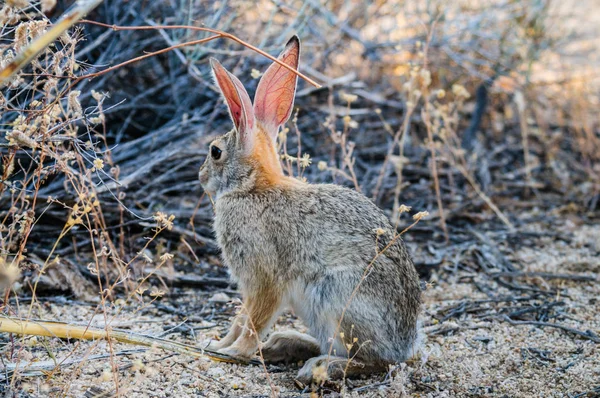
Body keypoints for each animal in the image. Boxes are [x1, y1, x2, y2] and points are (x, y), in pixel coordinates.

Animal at [199, 35, 420, 384]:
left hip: (335, 299)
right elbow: (240, 318)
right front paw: (217, 343)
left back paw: (318, 367)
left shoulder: (264, 278)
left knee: (373, 361)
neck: (253, 188)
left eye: (215, 152)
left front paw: (233, 352)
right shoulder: (251, 284)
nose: (201, 177)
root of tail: (406, 345)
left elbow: (252, 320)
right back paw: (284, 343)